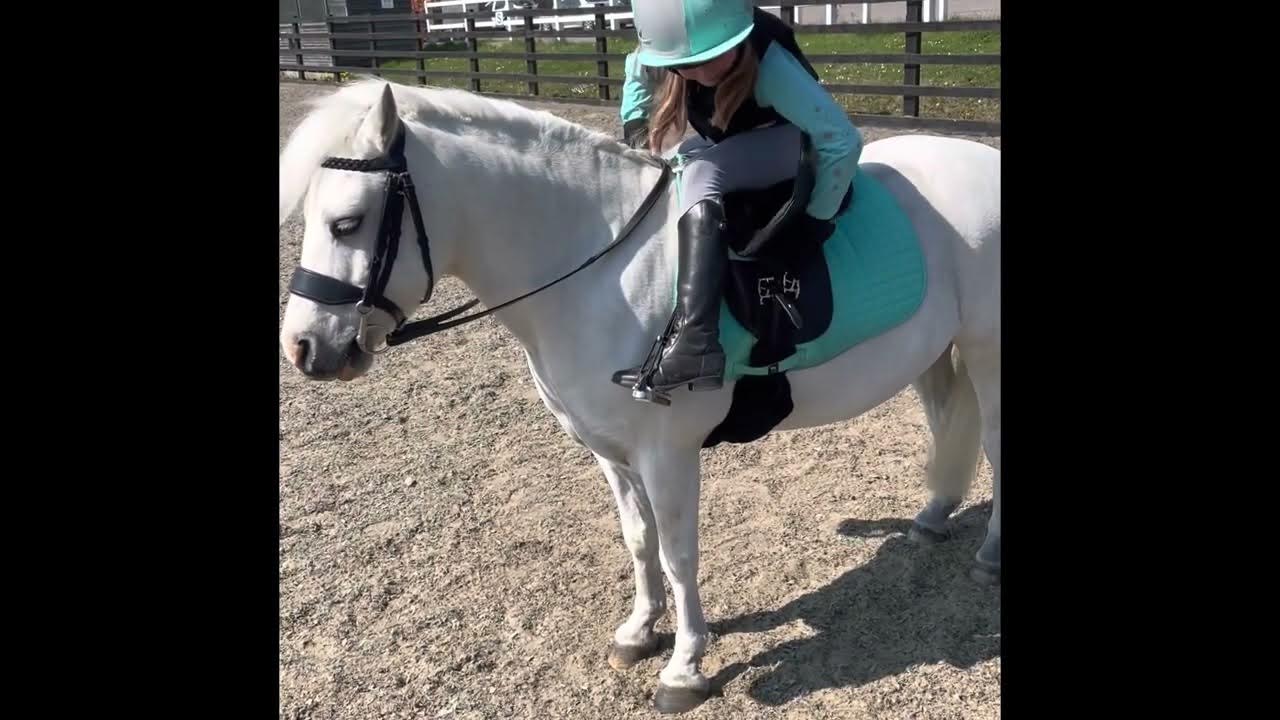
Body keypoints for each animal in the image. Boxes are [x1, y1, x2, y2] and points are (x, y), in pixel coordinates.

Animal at [278, 78, 1000, 714]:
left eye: (347, 223)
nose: (304, 348)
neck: (601, 272)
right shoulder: (610, 451)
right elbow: (638, 539)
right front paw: (639, 632)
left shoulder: (666, 452)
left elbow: (679, 553)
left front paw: (685, 667)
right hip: (932, 351)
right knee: (948, 422)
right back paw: (933, 516)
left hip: (988, 352)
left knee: (993, 445)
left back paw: (988, 558)